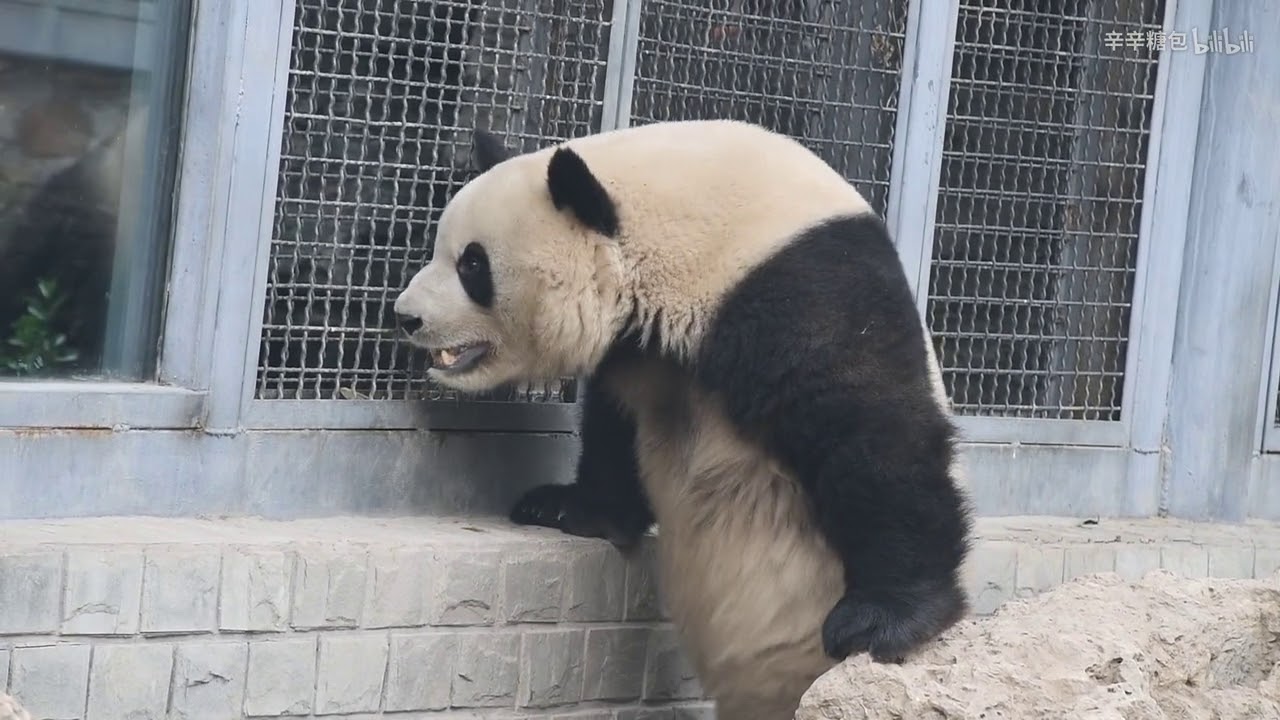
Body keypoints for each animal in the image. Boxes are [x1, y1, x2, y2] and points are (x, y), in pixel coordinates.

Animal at [393, 119, 972, 720]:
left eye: (472, 264)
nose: (405, 317)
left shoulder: (798, 285)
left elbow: (871, 435)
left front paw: (884, 620)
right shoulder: (642, 350)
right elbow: (614, 430)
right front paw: (562, 506)